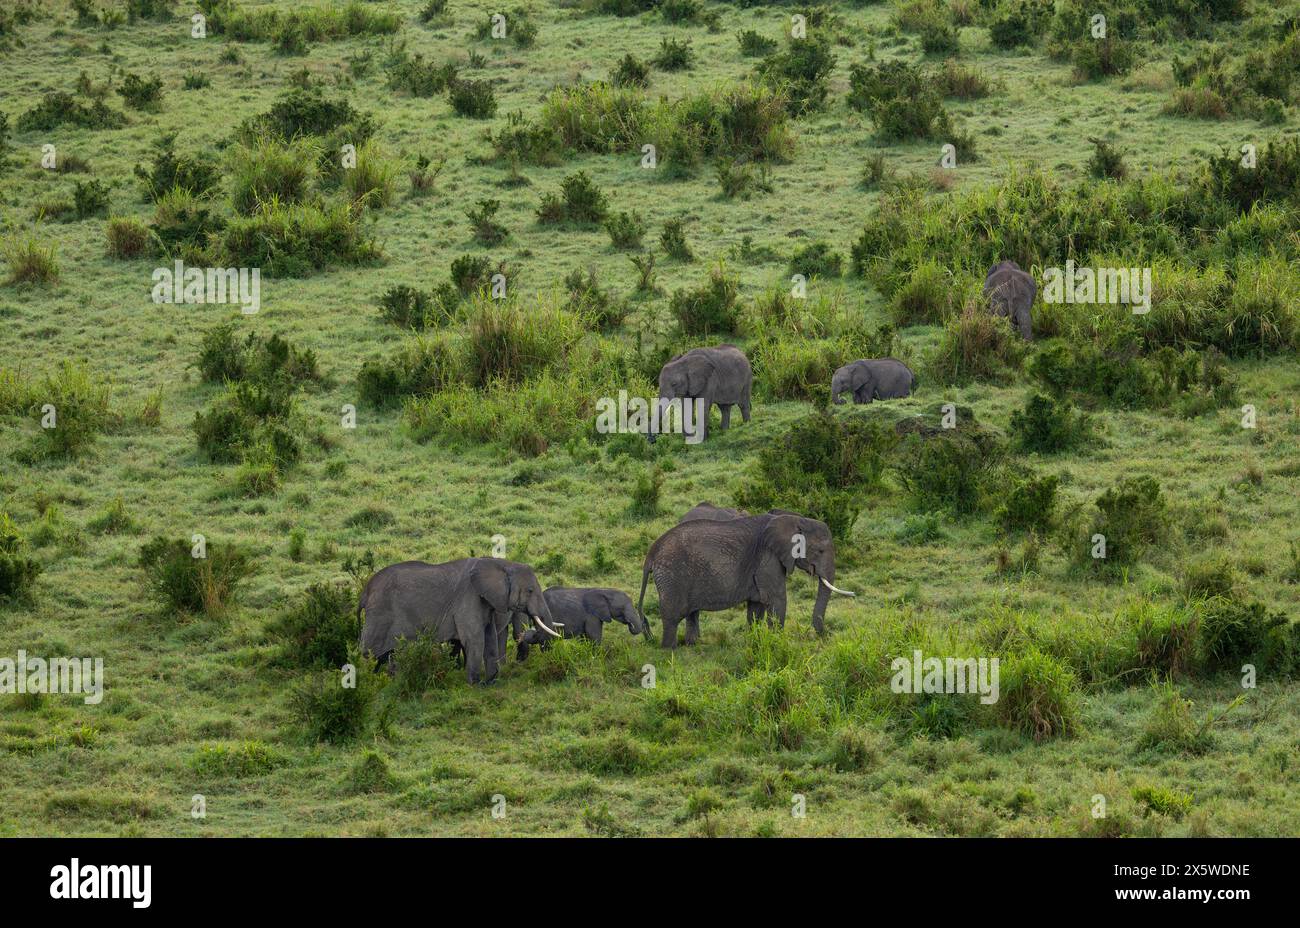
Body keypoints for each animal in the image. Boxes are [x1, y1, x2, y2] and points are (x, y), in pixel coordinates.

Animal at [357, 558, 561, 684]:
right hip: (380, 617)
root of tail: (365, 592)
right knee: (369, 654)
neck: (500, 564)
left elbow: (489, 637)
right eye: (530, 591)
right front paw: (476, 684)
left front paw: (491, 682)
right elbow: (475, 638)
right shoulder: (468, 598)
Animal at [515, 587, 649, 659]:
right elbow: (594, 637)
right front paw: (596, 657)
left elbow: (586, 638)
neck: (604, 590)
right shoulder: (592, 615)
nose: (631, 624)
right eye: (622, 608)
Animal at [638, 511, 856, 649]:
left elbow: (756, 606)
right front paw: (778, 644)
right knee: (673, 615)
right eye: (820, 551)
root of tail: (651, 553)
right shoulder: (768, 558)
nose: (826, 636)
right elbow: (776, 599)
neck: (796, 519)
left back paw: (693, 645)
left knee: (692, 613)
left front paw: (756, 643)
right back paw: (669, 650)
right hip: (672, 575)